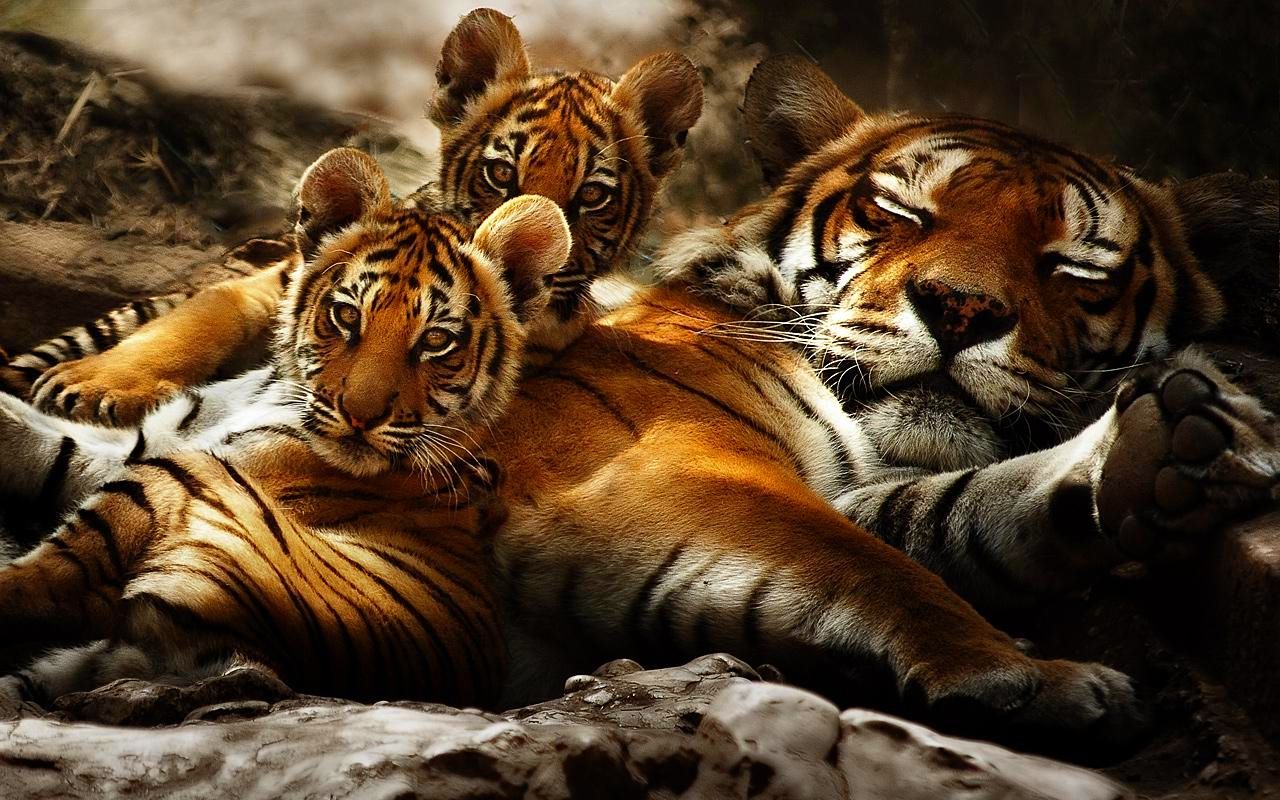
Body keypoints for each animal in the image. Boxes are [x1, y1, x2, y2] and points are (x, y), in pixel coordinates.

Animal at [0, 7, 703, 412]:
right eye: (500, 173)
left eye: (592, 196)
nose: (540, 252)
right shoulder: (278, 282)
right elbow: (198, 320)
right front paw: (97, 384)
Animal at [0, 147, 573, 712]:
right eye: (346, 316)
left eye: (436, 340)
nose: (361, 416)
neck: (274, 388)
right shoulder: (154, 435)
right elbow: (47, 440)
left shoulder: (175, 457)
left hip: (176, 482)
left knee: (50, 585)